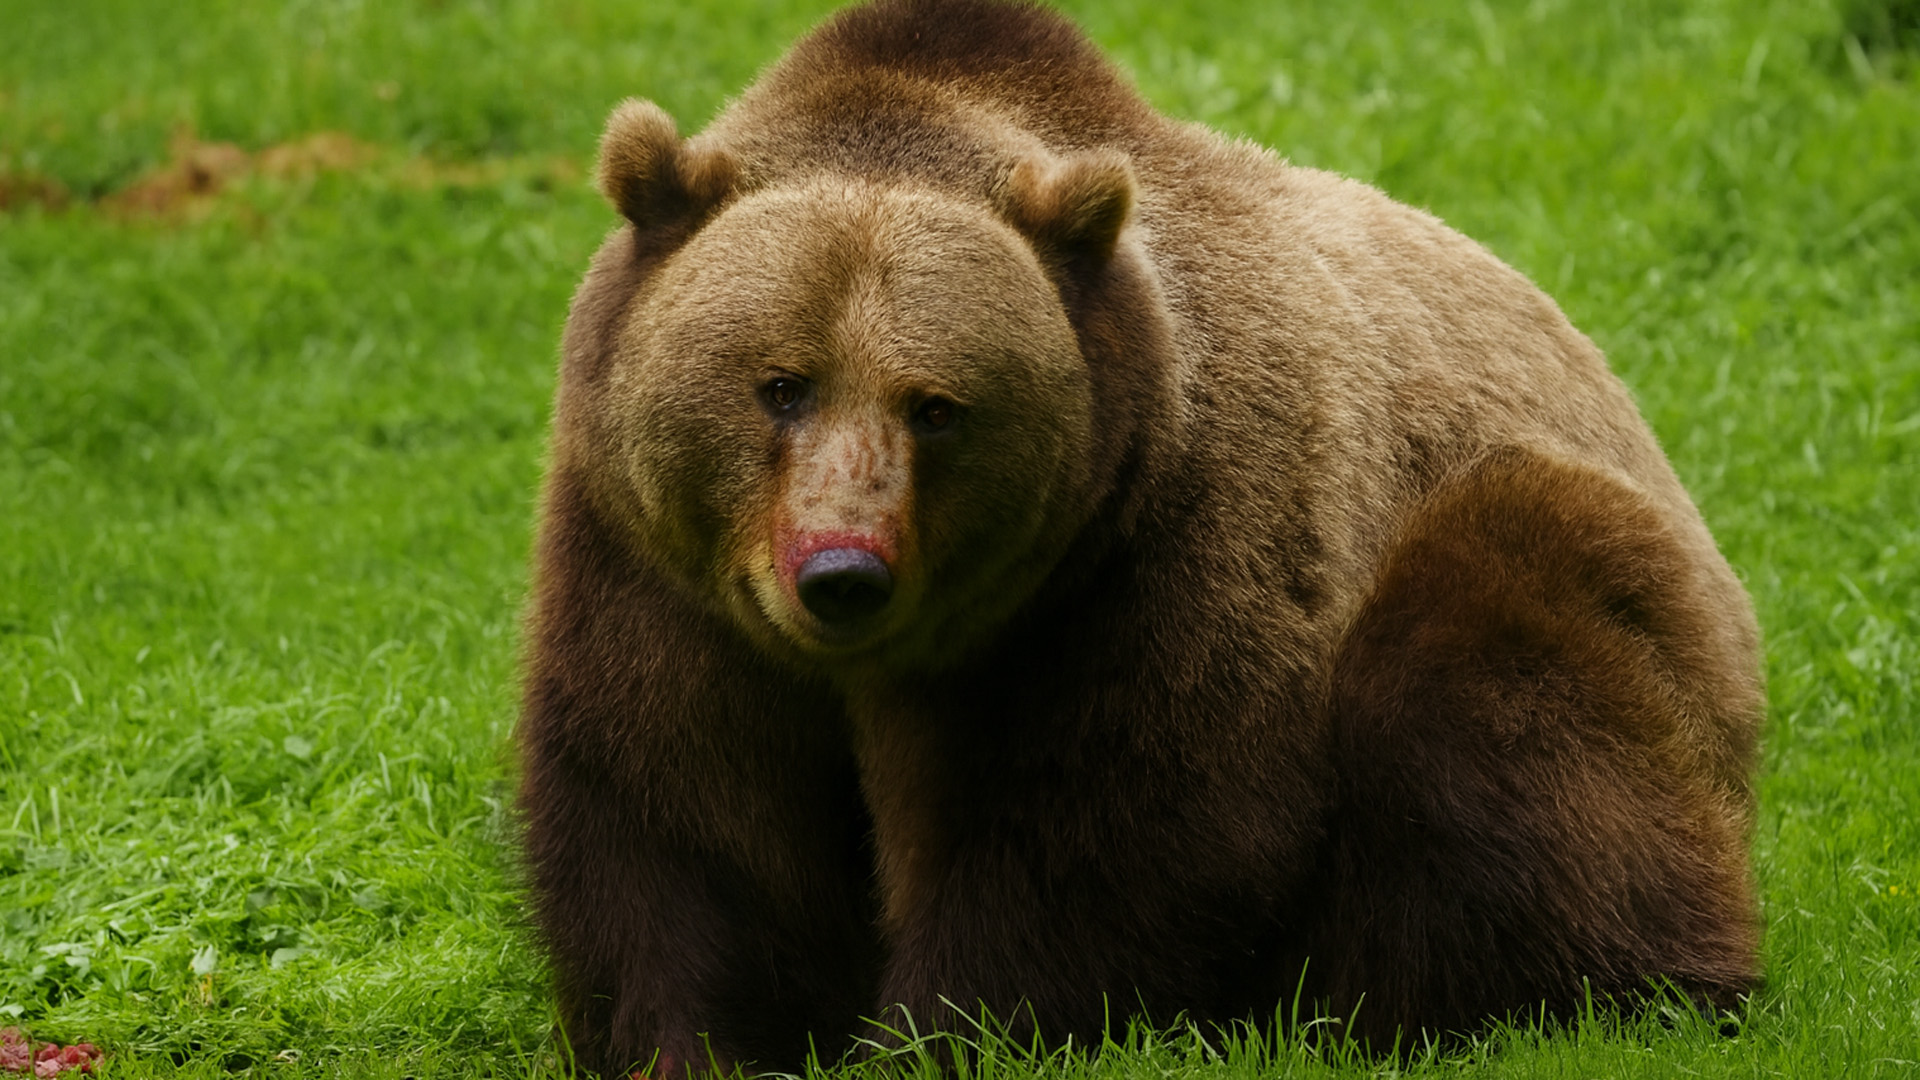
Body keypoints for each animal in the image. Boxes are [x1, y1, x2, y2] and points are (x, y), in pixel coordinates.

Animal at [516, 0, 1764, 1073]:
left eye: (936, 406)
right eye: (781, 385)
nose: (842, 574)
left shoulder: (1163, 537)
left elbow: (1115, 827)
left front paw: (935, 1036)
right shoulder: (653, 568)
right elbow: (680, 812)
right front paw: (696, 1042)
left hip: (1591, 585)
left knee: (1495, 669)